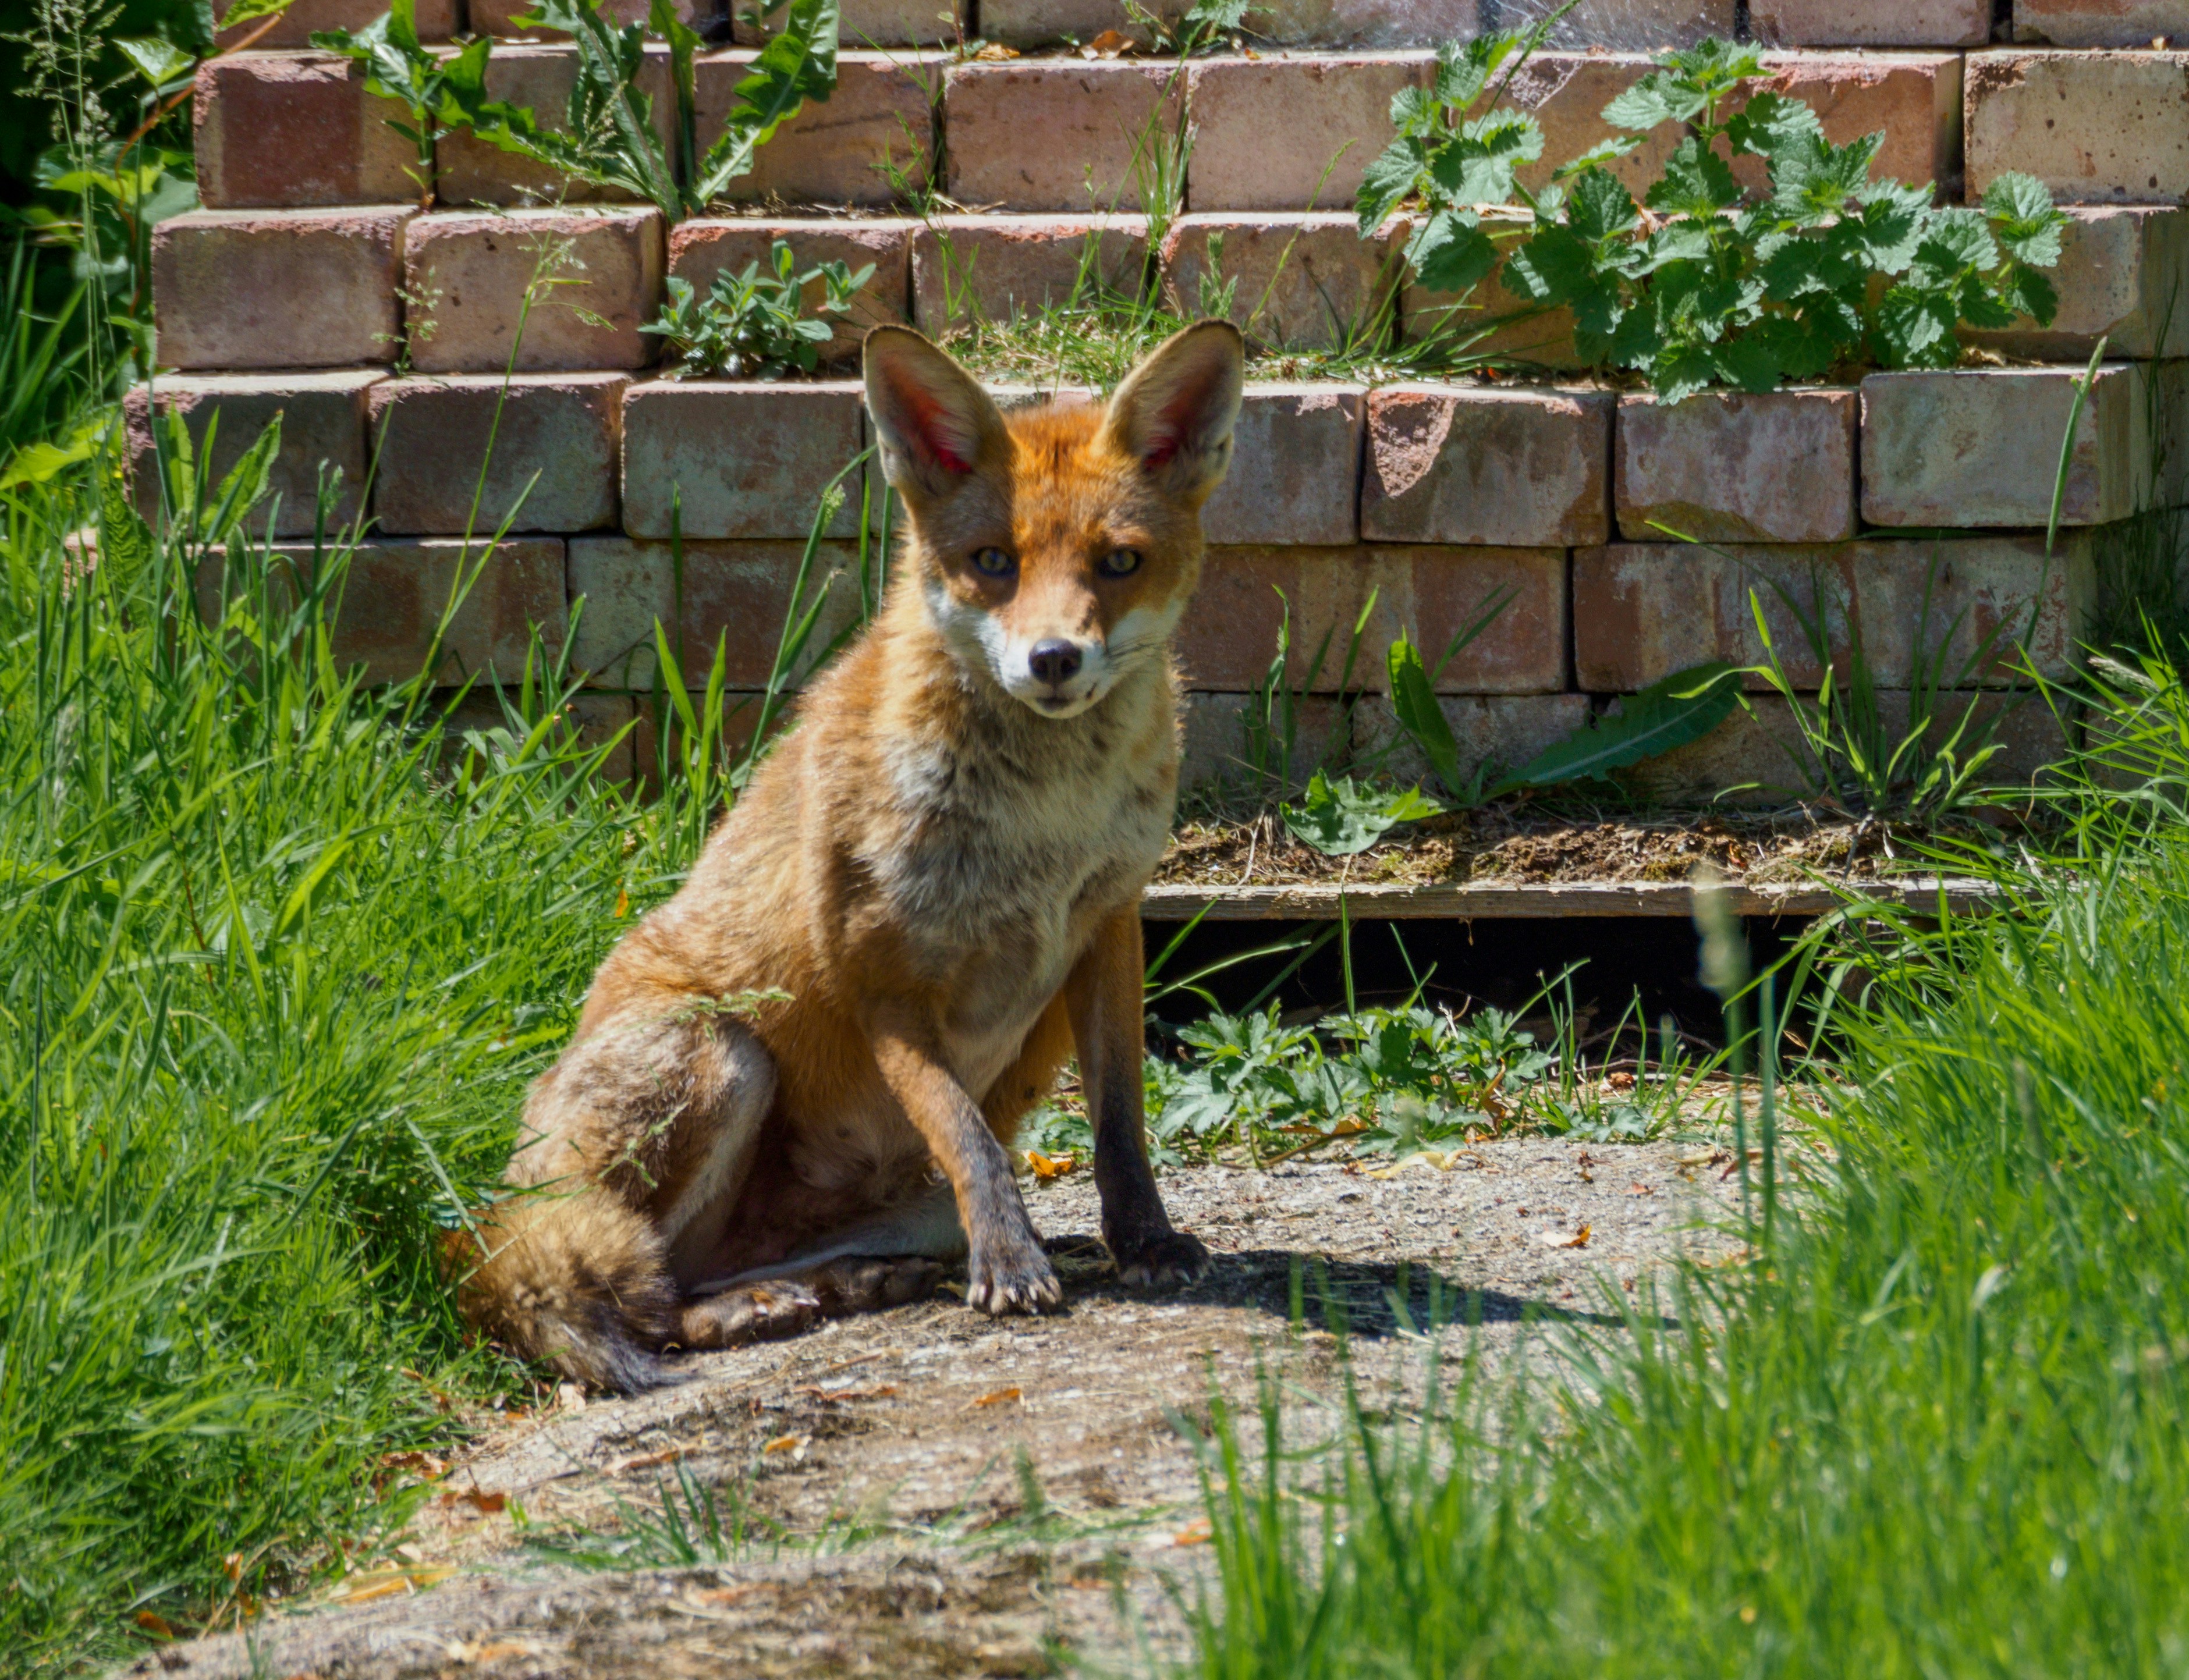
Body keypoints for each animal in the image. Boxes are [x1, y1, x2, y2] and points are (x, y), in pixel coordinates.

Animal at [452, 318, 1247, 1390]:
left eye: (1119, 561)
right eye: (992, 560)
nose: (1051, 660)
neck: (1045, 823)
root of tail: (493, 1215)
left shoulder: (1108, 925)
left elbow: (1120, 1124)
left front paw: (1145, 1241)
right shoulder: (883, 969)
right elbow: (965, 1130)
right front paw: (1011, 1263)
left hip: (902, 1199)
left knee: (726, 1262)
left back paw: (850, 1282)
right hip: (722, 1054)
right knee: (649, 1279)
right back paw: (741, 1312)